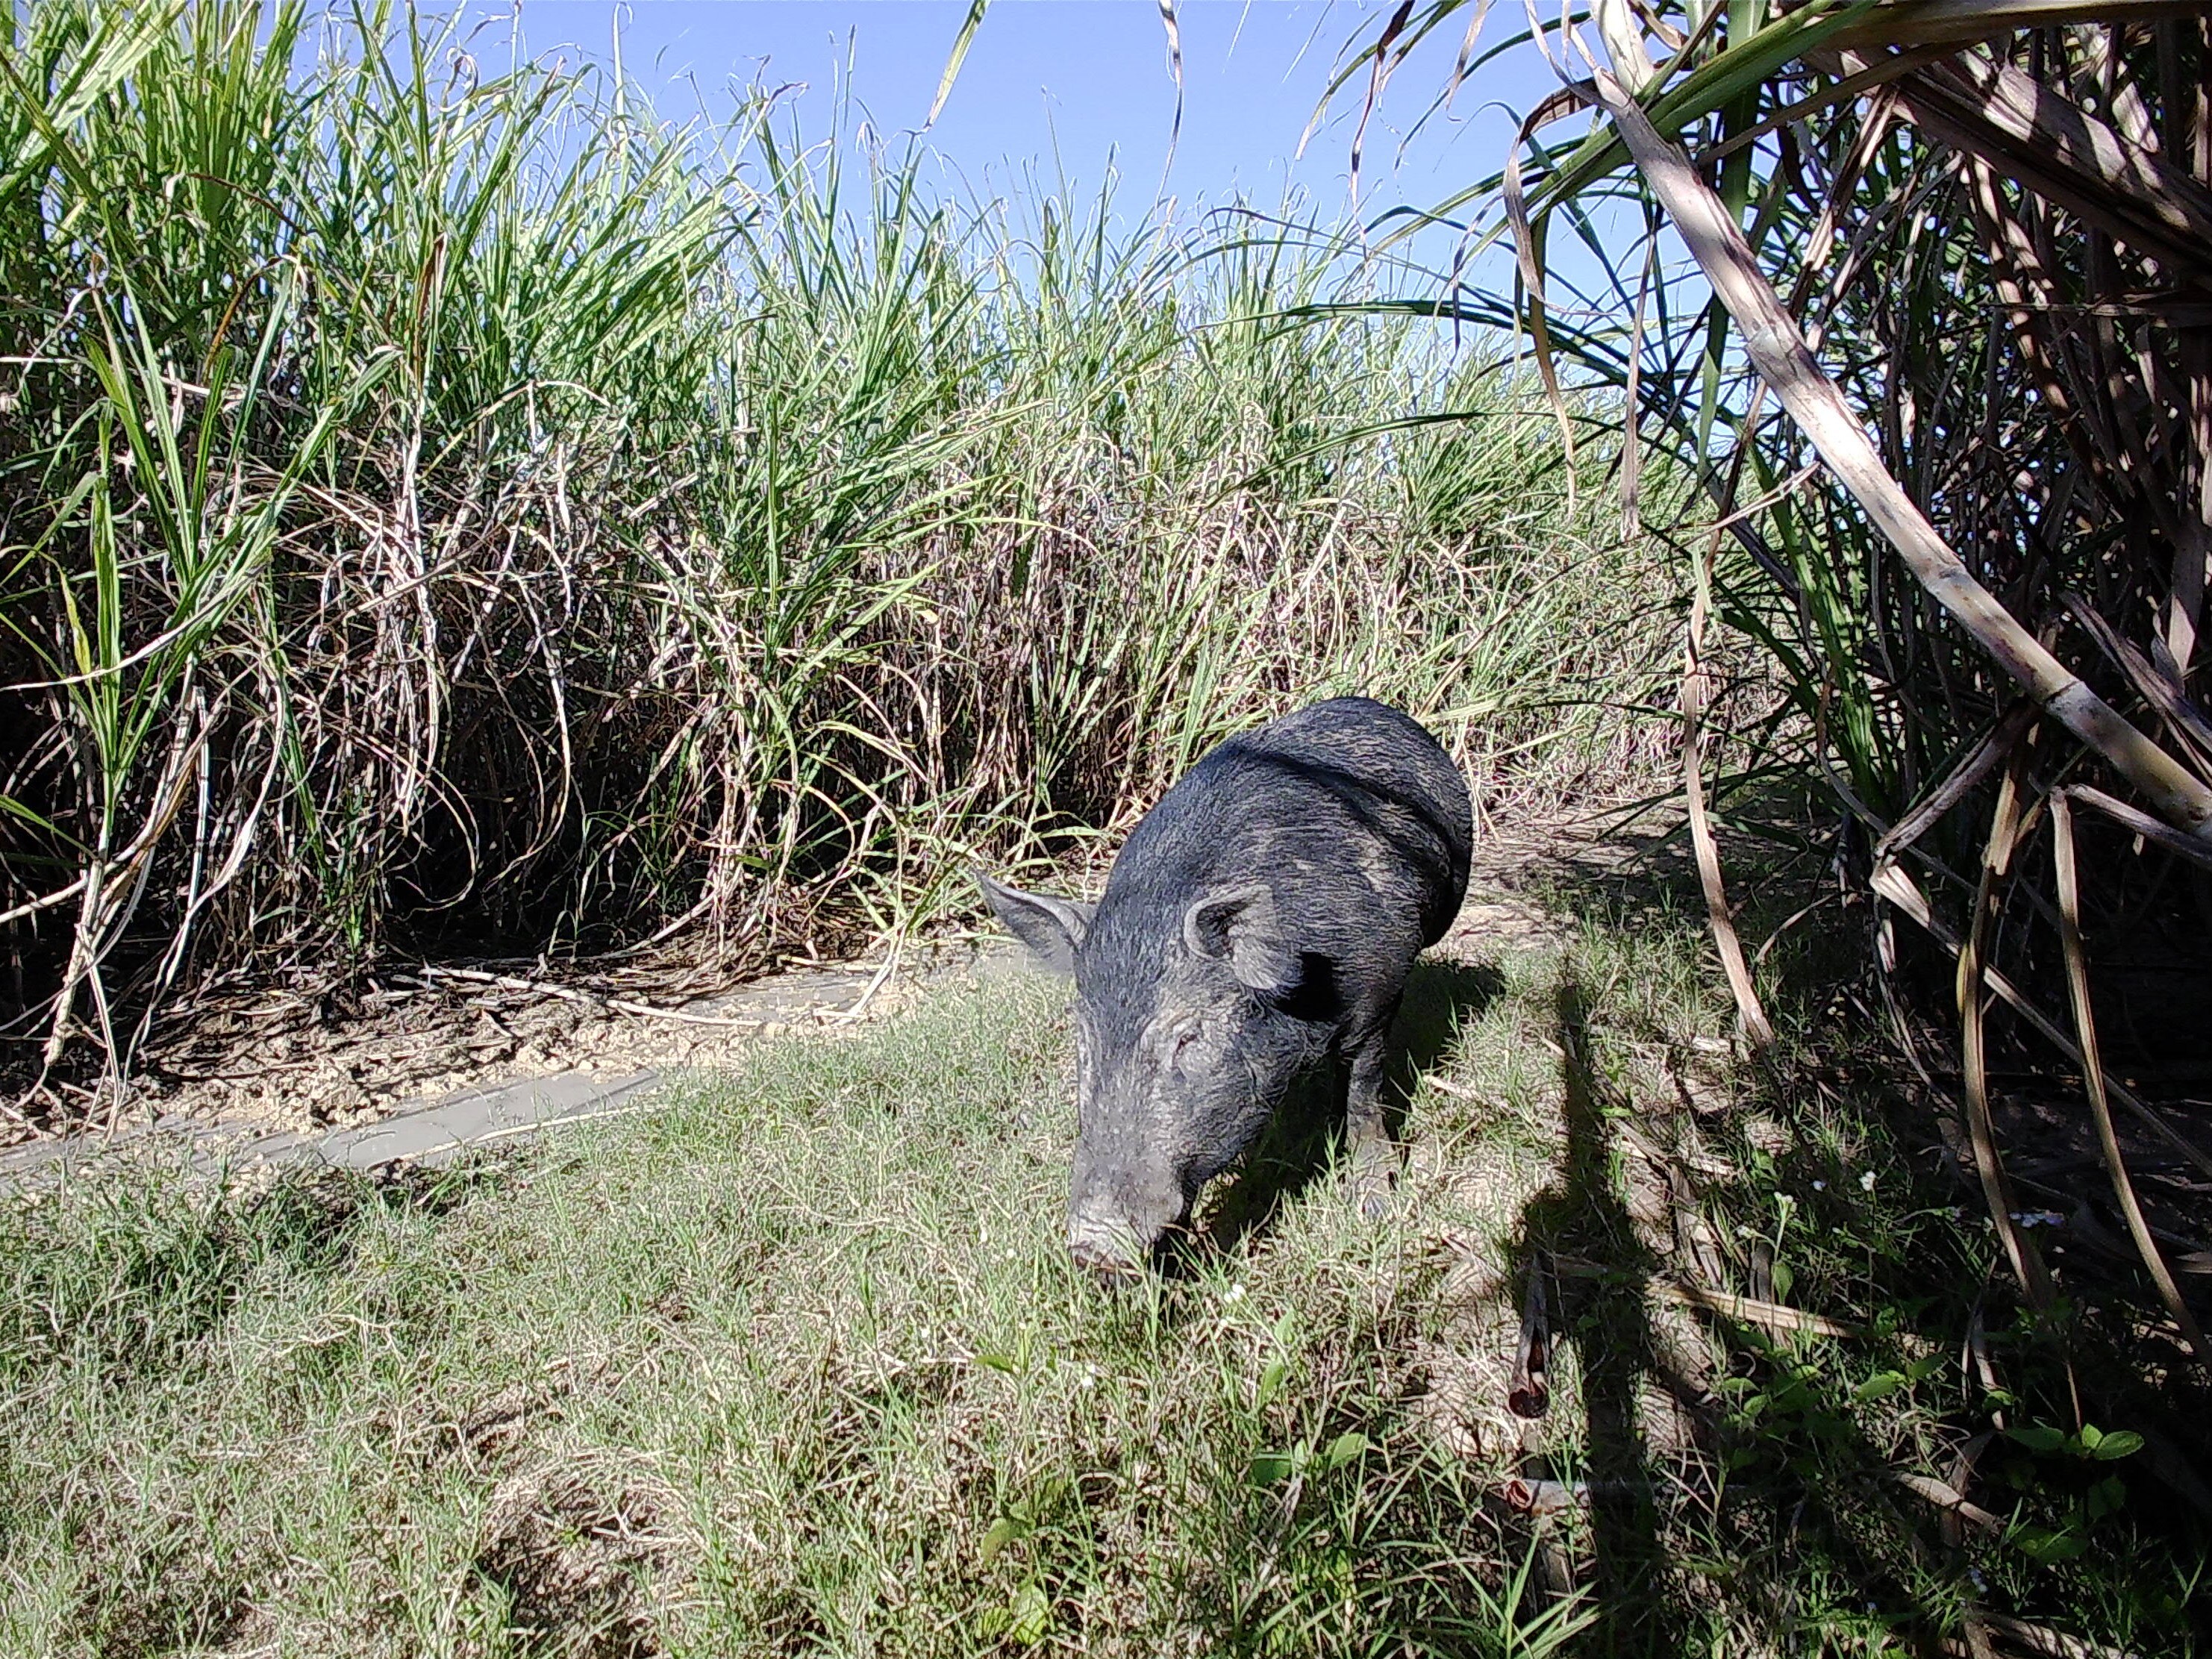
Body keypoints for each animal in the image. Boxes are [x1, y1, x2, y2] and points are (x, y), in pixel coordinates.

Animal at [977, 696, 1472, 1278]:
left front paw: (1375, 1203)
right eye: (1084, 1039)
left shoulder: (1381, 987)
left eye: (1189, 1036)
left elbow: (1365, 1089)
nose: (1092, 1246)